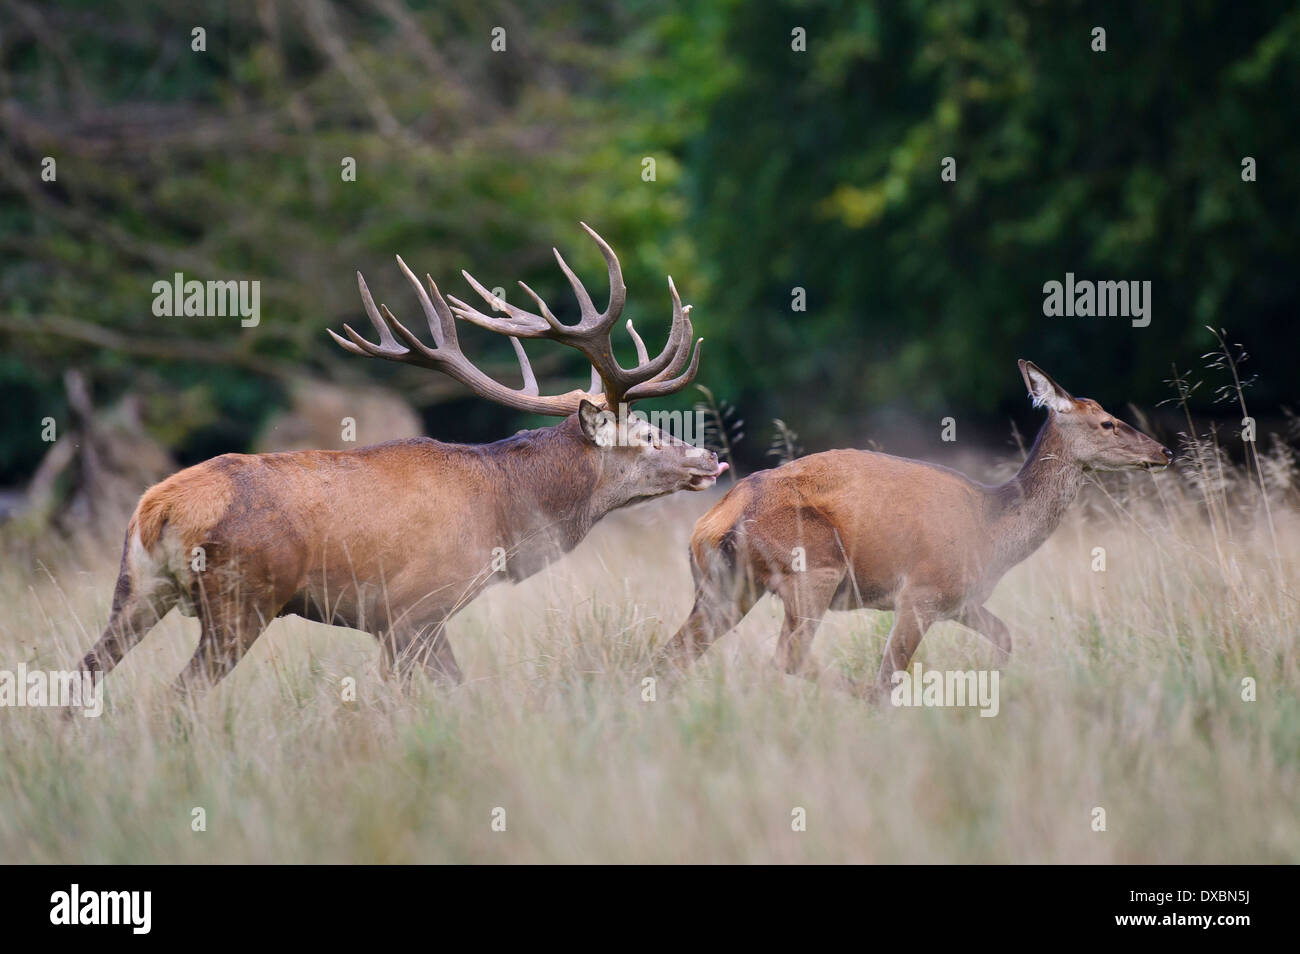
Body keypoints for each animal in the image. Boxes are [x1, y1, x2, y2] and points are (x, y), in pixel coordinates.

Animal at [78, 225, 727, 694]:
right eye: (646, 434)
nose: (711, 457)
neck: (505, 514)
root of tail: (156, 508)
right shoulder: (413, 607)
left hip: (136, 588)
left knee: (85, 672)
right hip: (241, 599)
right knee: (178, 698)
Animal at [655, 360, 1172, 700]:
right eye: (1107, 422)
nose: (1164, 451)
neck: (994, 531)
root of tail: (714, 520)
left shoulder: (962, 600)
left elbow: (1007, 638)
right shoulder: (921, 592)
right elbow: (891, 674)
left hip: (726, 587)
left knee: (672, 654)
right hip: (814, 568)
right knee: (790, 656)